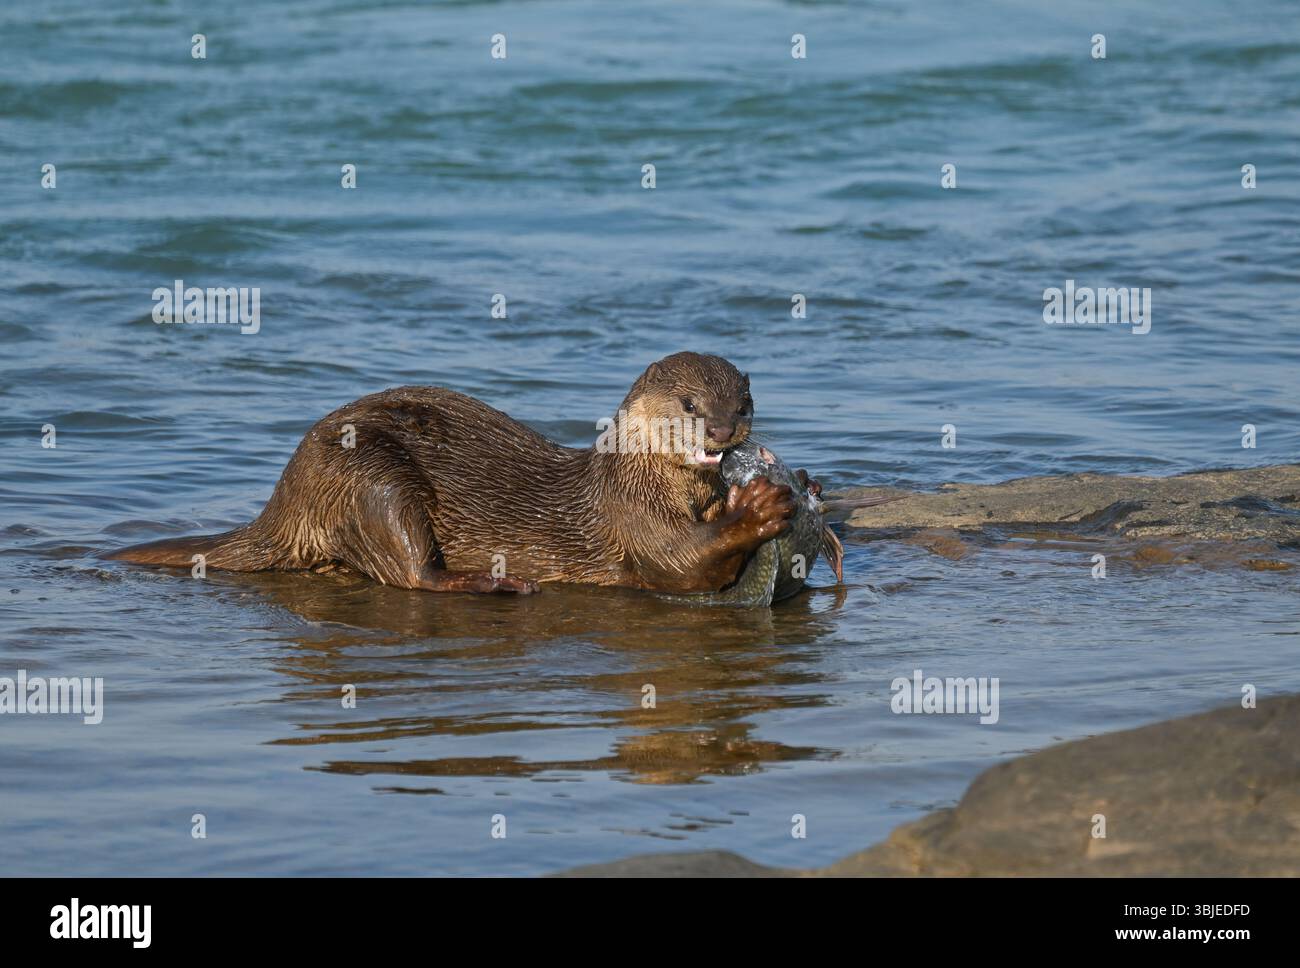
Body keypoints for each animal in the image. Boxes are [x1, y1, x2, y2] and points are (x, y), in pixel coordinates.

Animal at [108, 352, 819, 595]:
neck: (638, 478)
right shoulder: (634, 518)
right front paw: (762, 507)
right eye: (690, 405)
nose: (725, 432)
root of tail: (284, 498)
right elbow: (680, 562)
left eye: (743, 403)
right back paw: (492, 583)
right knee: (412, 573)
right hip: (368, 477)